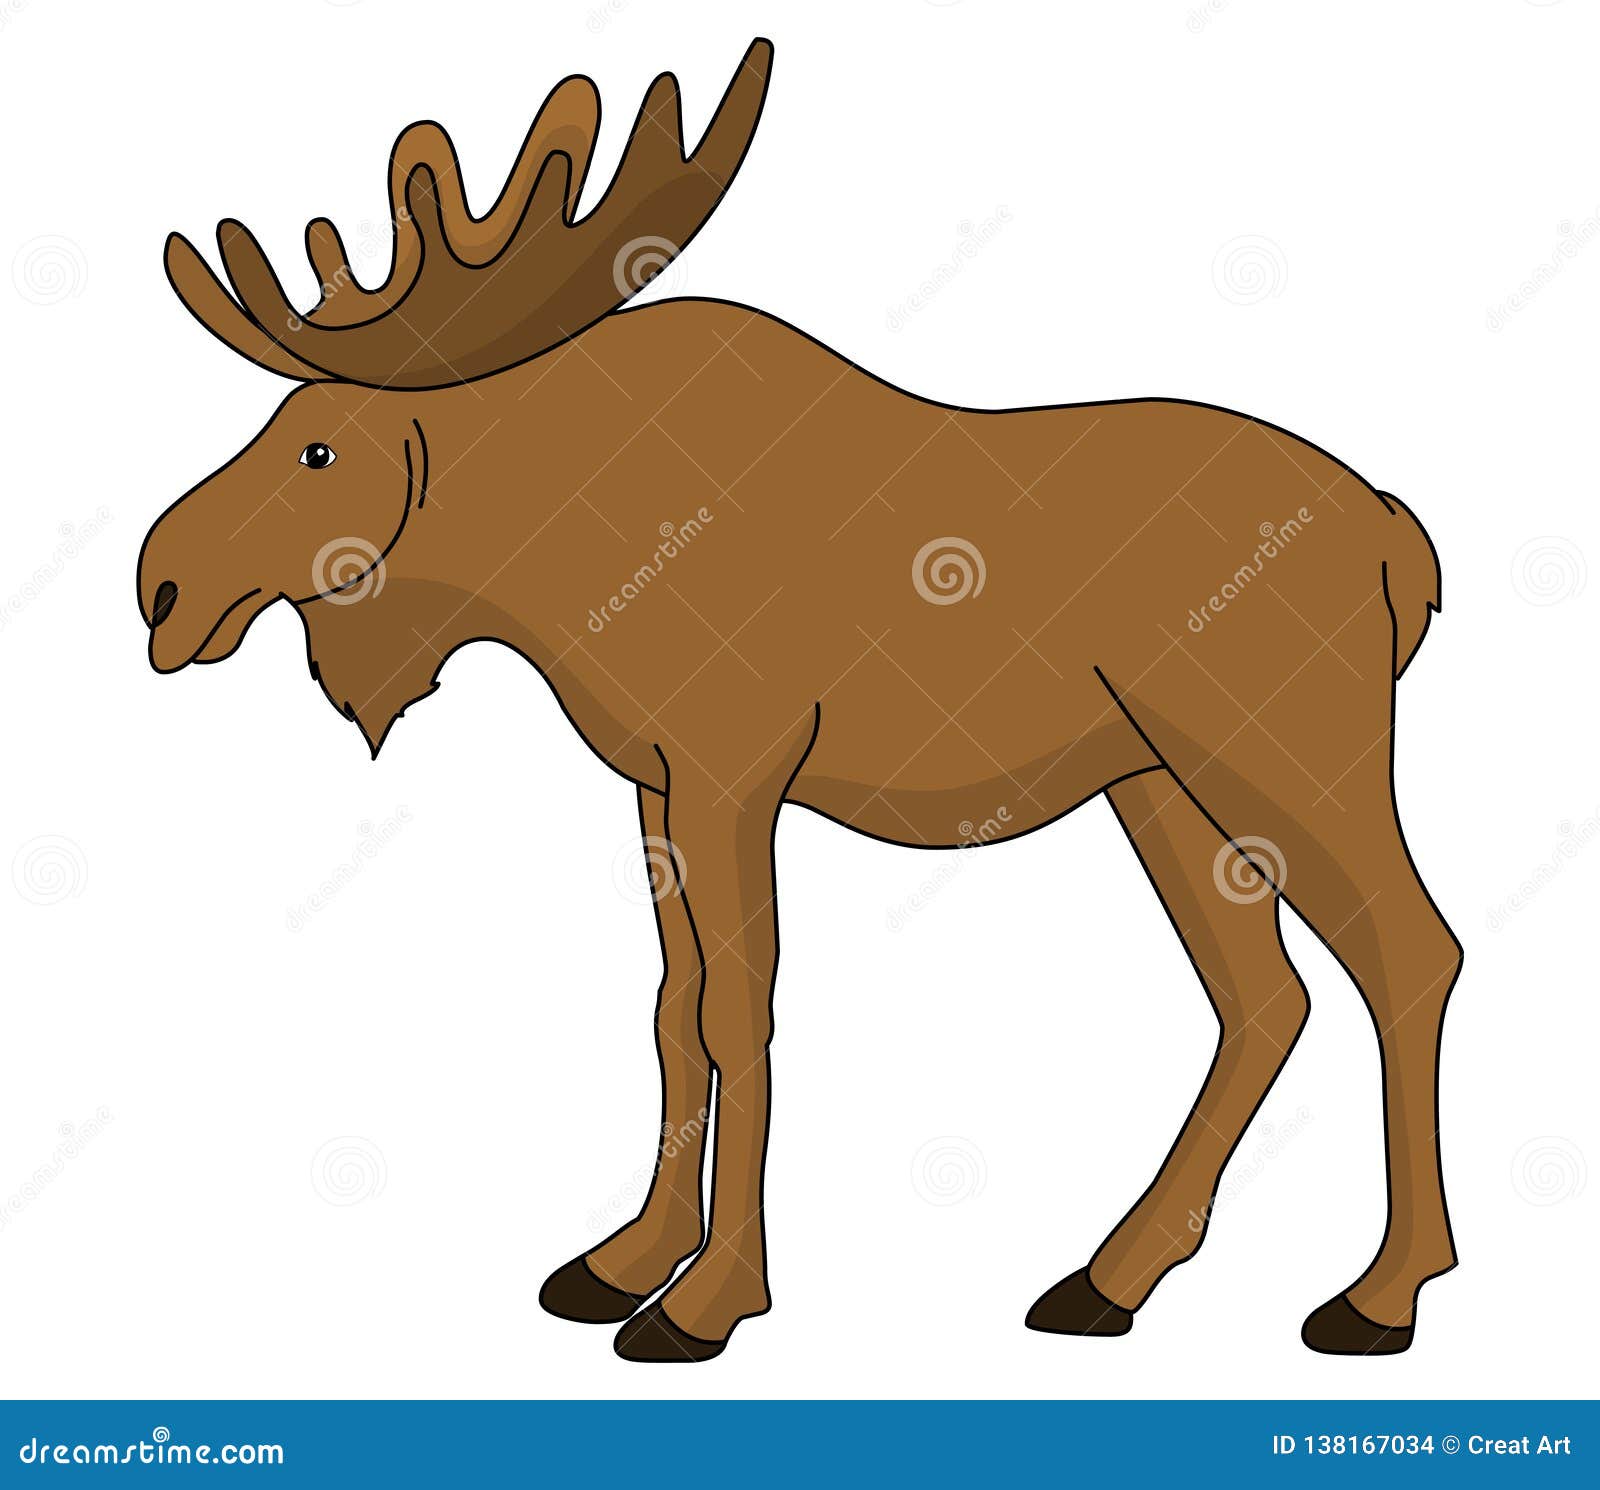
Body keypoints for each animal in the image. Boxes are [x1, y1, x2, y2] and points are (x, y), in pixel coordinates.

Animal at [137, 38, 1462, 1363]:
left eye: (318, 447)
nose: (160, 581)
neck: (553, 562)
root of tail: (1396, 533)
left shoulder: (736, 763)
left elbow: (740, 1008)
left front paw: (709, 1298)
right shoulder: (655, 780)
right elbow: (671, 1007)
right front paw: (624, 1259)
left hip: (1287, 748)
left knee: (1409, 949)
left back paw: (1381, 1290)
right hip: (1160, 782)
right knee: (1263, 996)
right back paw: (1110, 1274)